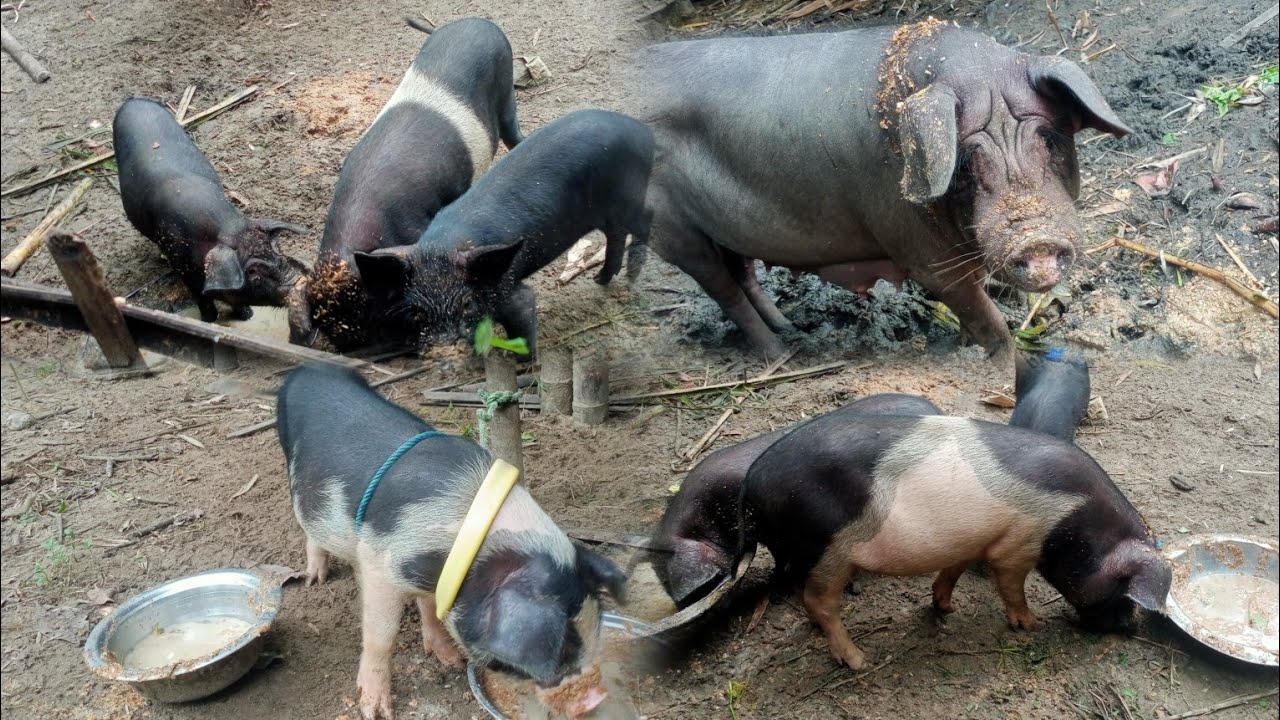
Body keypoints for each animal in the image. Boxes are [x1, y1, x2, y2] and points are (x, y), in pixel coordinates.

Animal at [113, 97, 307, 322]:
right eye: (254, 274)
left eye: (278, 252)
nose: (298, 281)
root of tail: (133, 100)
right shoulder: (184, 269)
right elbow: (202, 300)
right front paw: (210, 320)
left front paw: (246, 316)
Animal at [278, 364, 624, 719]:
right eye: (561, 648)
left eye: (592, 626)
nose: (596, 698)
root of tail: (307, 368)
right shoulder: (379, 562)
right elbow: (381, 634)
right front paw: (375, 710)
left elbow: (431, 608)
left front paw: (452, 661)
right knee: (306, 524)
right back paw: (314, 580)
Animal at [352, 108, 654, 354]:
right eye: (419, 313)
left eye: (466, 304)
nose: (445, 348)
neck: (447, 243)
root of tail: (642, 132)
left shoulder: (508, 288)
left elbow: (523, 315)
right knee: (617, 234)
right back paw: (601, 280)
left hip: (628, 197)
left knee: (643, 222)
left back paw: (625, 277)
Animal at [629, 18, 1132, 358]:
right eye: (965, 162)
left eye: (1049, 139)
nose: (1037, 240)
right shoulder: (916, 246)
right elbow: (976, 307)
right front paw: (1001, 358)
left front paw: (967, 347)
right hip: (671, 230)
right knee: (721, 287)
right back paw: (780, 355)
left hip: (725, 227)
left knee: (742, 275)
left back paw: (790, 330)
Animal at [740, 413, 1171, 670]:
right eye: (1123, 590)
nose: (1130, 630)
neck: (1078, 520)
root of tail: (752, 483)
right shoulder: (1017, 545)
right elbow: (1011, 585)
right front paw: (1031, 624)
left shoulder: (973, 541)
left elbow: (953, 571)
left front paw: (946, 608)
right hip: (827, 547)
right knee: (819, 601)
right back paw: (860, 661)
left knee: (806, 598)